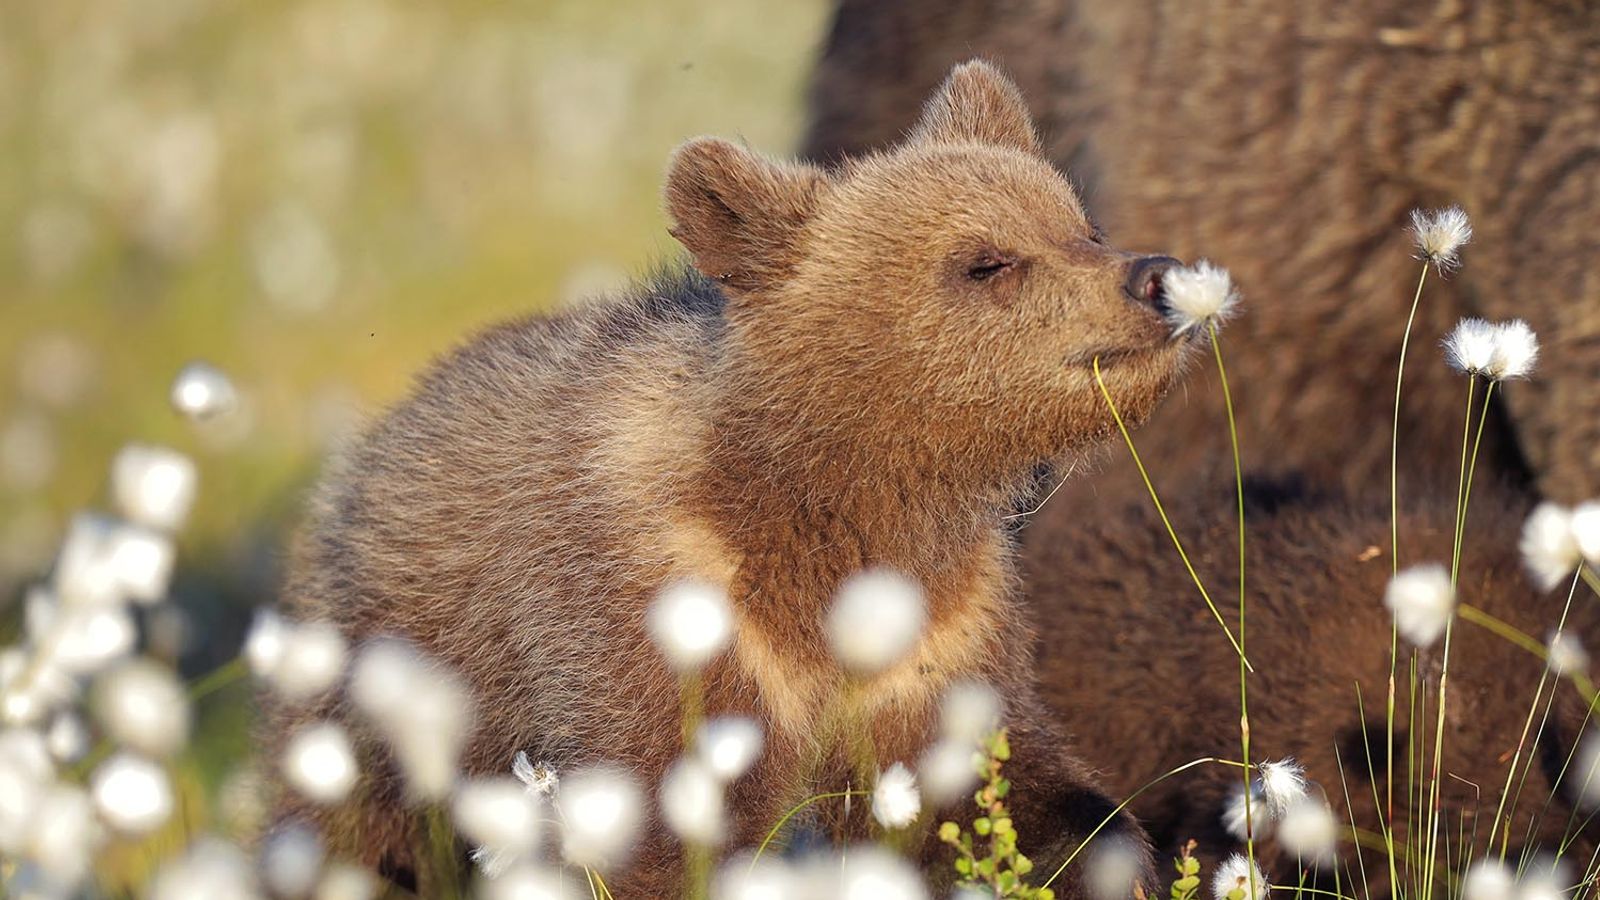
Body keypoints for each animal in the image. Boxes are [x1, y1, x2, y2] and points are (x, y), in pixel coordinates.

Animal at [269, 61, 1199, 895]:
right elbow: (658, 827)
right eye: (985, 261)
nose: (1153, 277)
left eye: (1079, 221)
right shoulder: (659, 617)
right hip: (384, 682)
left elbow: (1003, 789)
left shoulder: (937, 632)